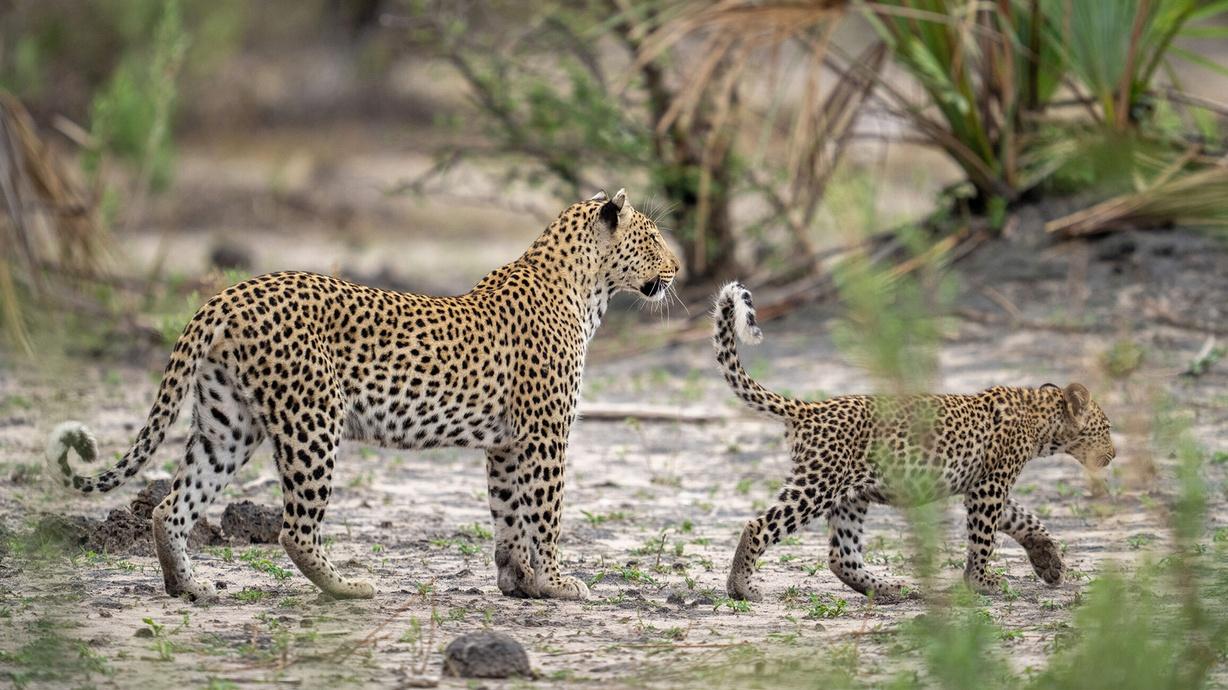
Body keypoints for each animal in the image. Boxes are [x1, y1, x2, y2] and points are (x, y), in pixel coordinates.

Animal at [47, 188, 681, 603]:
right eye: (652, 239)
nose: (676, 267)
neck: (587, 290)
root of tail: (227, 294)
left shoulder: (506, 444)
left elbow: (507, 516)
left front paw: (517, 582)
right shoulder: (546, 434)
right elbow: (545, 513)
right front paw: (557, 582)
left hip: (227, 427)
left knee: (170, 506)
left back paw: (190, 588)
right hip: (312, 421)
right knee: (294, 528)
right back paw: (349, 586)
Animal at [712, 282, 1115, 602]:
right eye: (1108, 428)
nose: (1114, 454)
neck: (1039, 419)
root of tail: (809, 407)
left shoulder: (984, 484)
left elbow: (1025, 519)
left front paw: (1050, 563)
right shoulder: (989, 485)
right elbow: (984, 536)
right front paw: (981, 582)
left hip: (850, 496)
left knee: (842, 556)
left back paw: (890, 589)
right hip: (818, 484)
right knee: (759, 525)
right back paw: (741, 588)